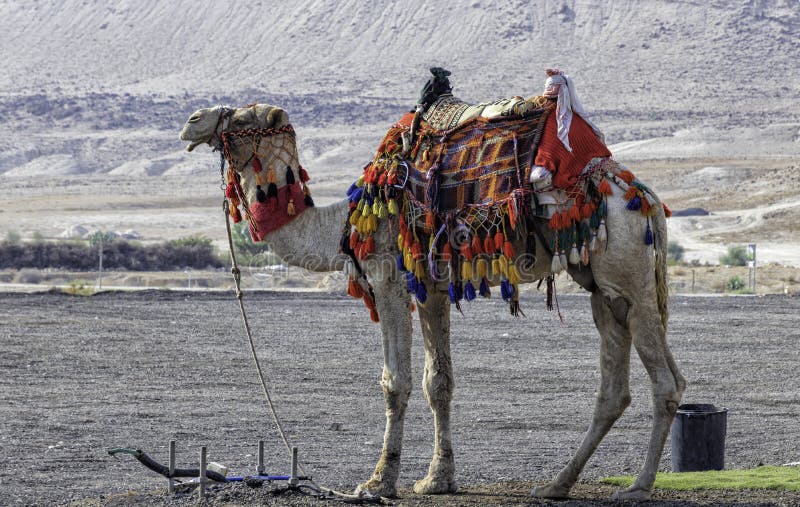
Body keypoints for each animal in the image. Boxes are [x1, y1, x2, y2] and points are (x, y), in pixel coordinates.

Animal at [180, 96, 686, 501]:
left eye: (240, 115)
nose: (191, 121)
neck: (341, 221)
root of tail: (646, 199)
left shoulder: (389, 280)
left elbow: (395, 382)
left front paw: (378, 482)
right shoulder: (431, 290)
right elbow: (438, 381)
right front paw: (437, 480)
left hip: (633, 280)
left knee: (667, 382)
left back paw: (638, 487)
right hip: (604, 288)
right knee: (614, 387)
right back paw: (556, 485)